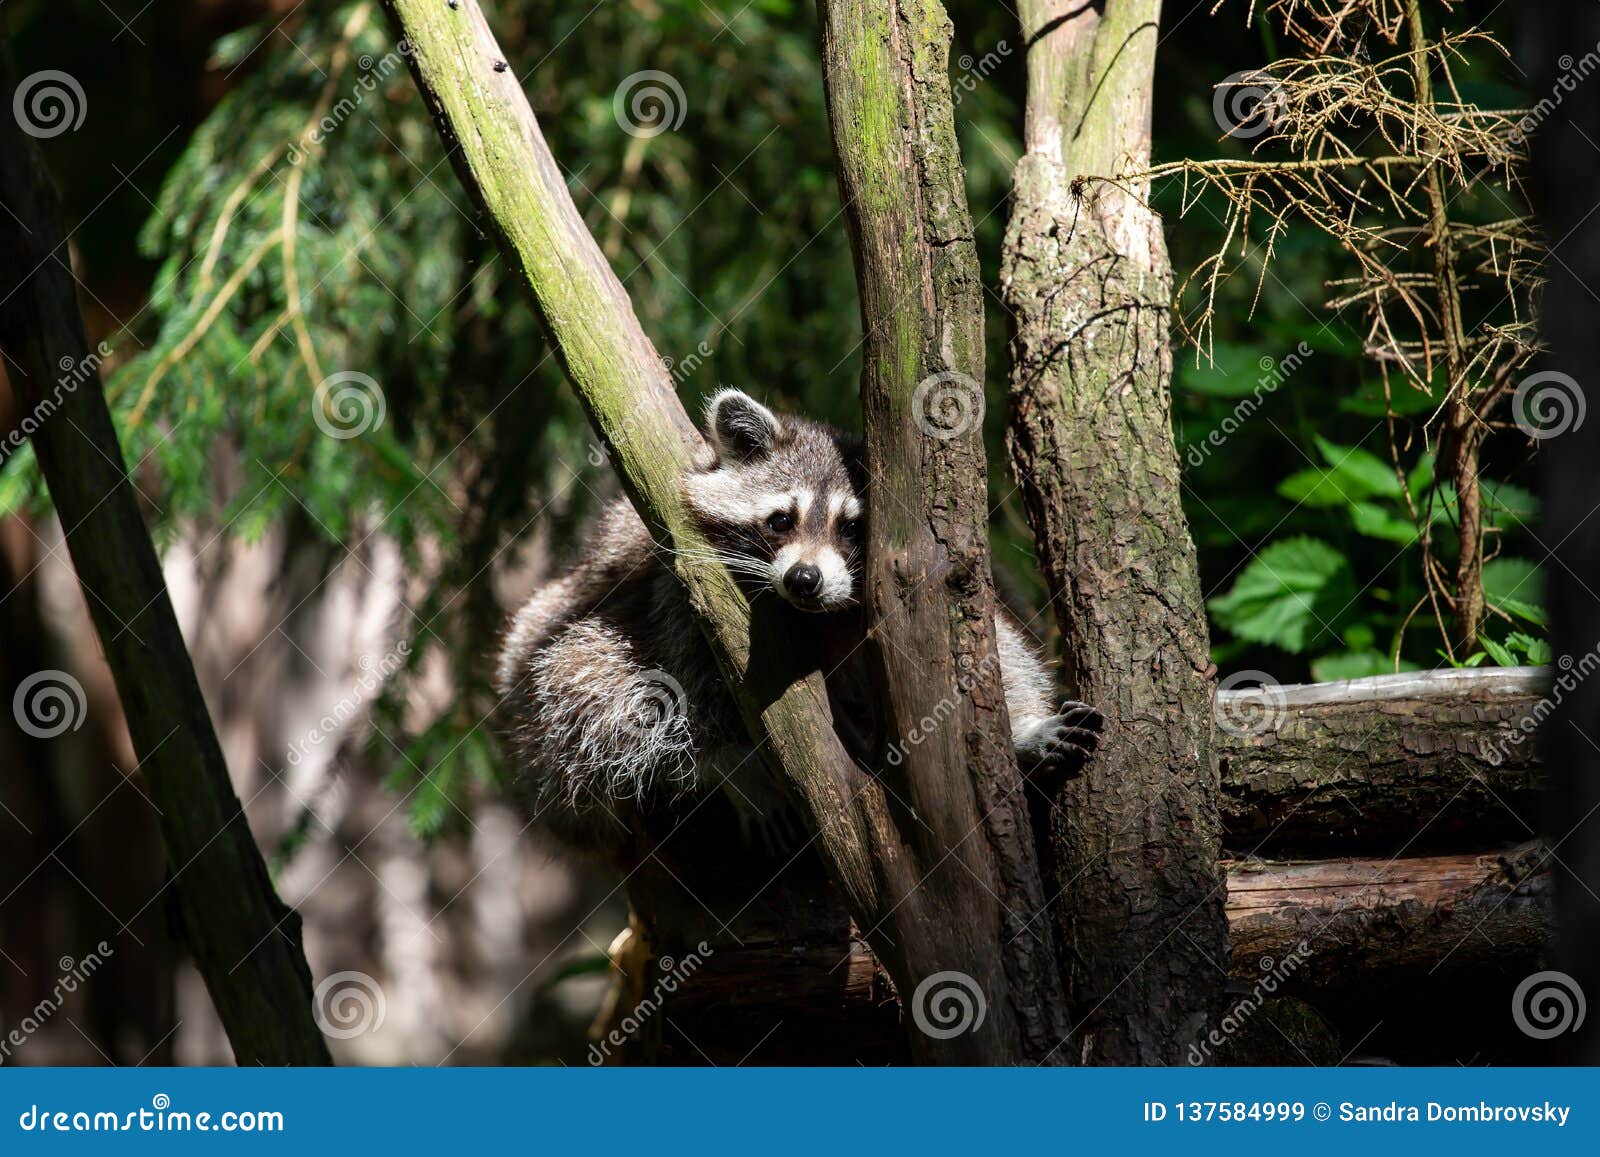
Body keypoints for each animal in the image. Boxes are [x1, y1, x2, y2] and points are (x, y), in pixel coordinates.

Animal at [495, 389, 1102, 858]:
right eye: (781, 520)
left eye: (853, 529)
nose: (804, 579)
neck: (817, 616)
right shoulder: (681, 593)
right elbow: (635, 689)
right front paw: (729, 761)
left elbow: (997, 651)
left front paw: (1023, 728)